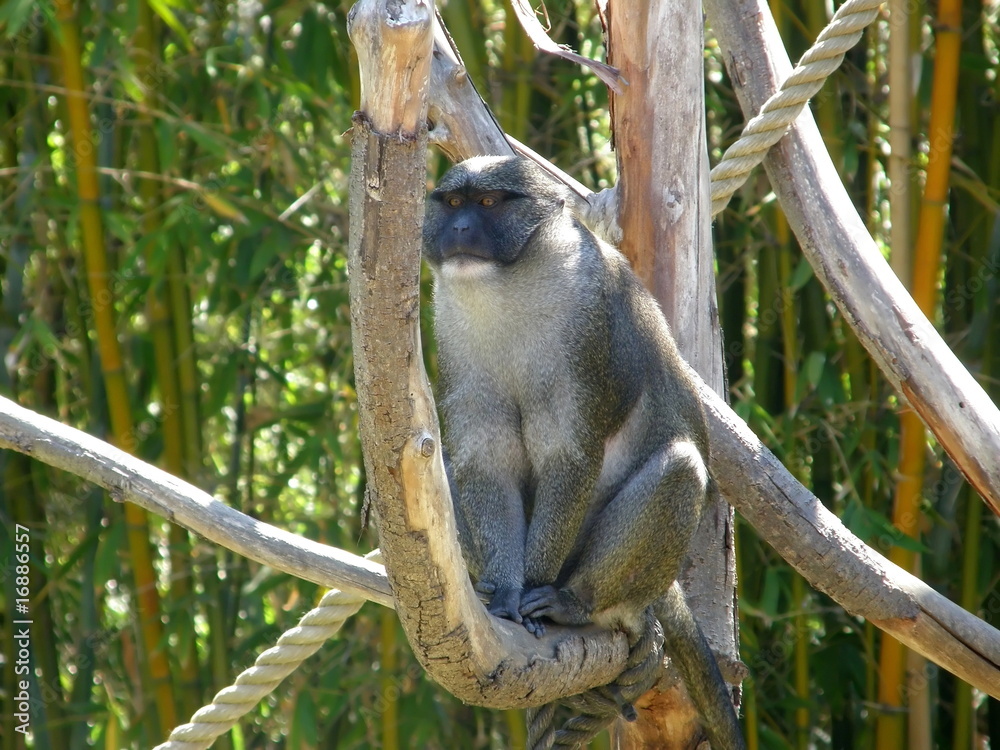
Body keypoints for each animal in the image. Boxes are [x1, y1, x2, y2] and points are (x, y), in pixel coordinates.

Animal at [422, 155, 745, 750]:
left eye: (487, 204)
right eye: (453, 203)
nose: (459, 229)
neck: (512, 284)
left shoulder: (586, 320)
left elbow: (570, 455)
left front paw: (533, 592)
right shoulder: (452, 328)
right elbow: (483, 459)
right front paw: (505, 592)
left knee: (682, 466)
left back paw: (576, 602)